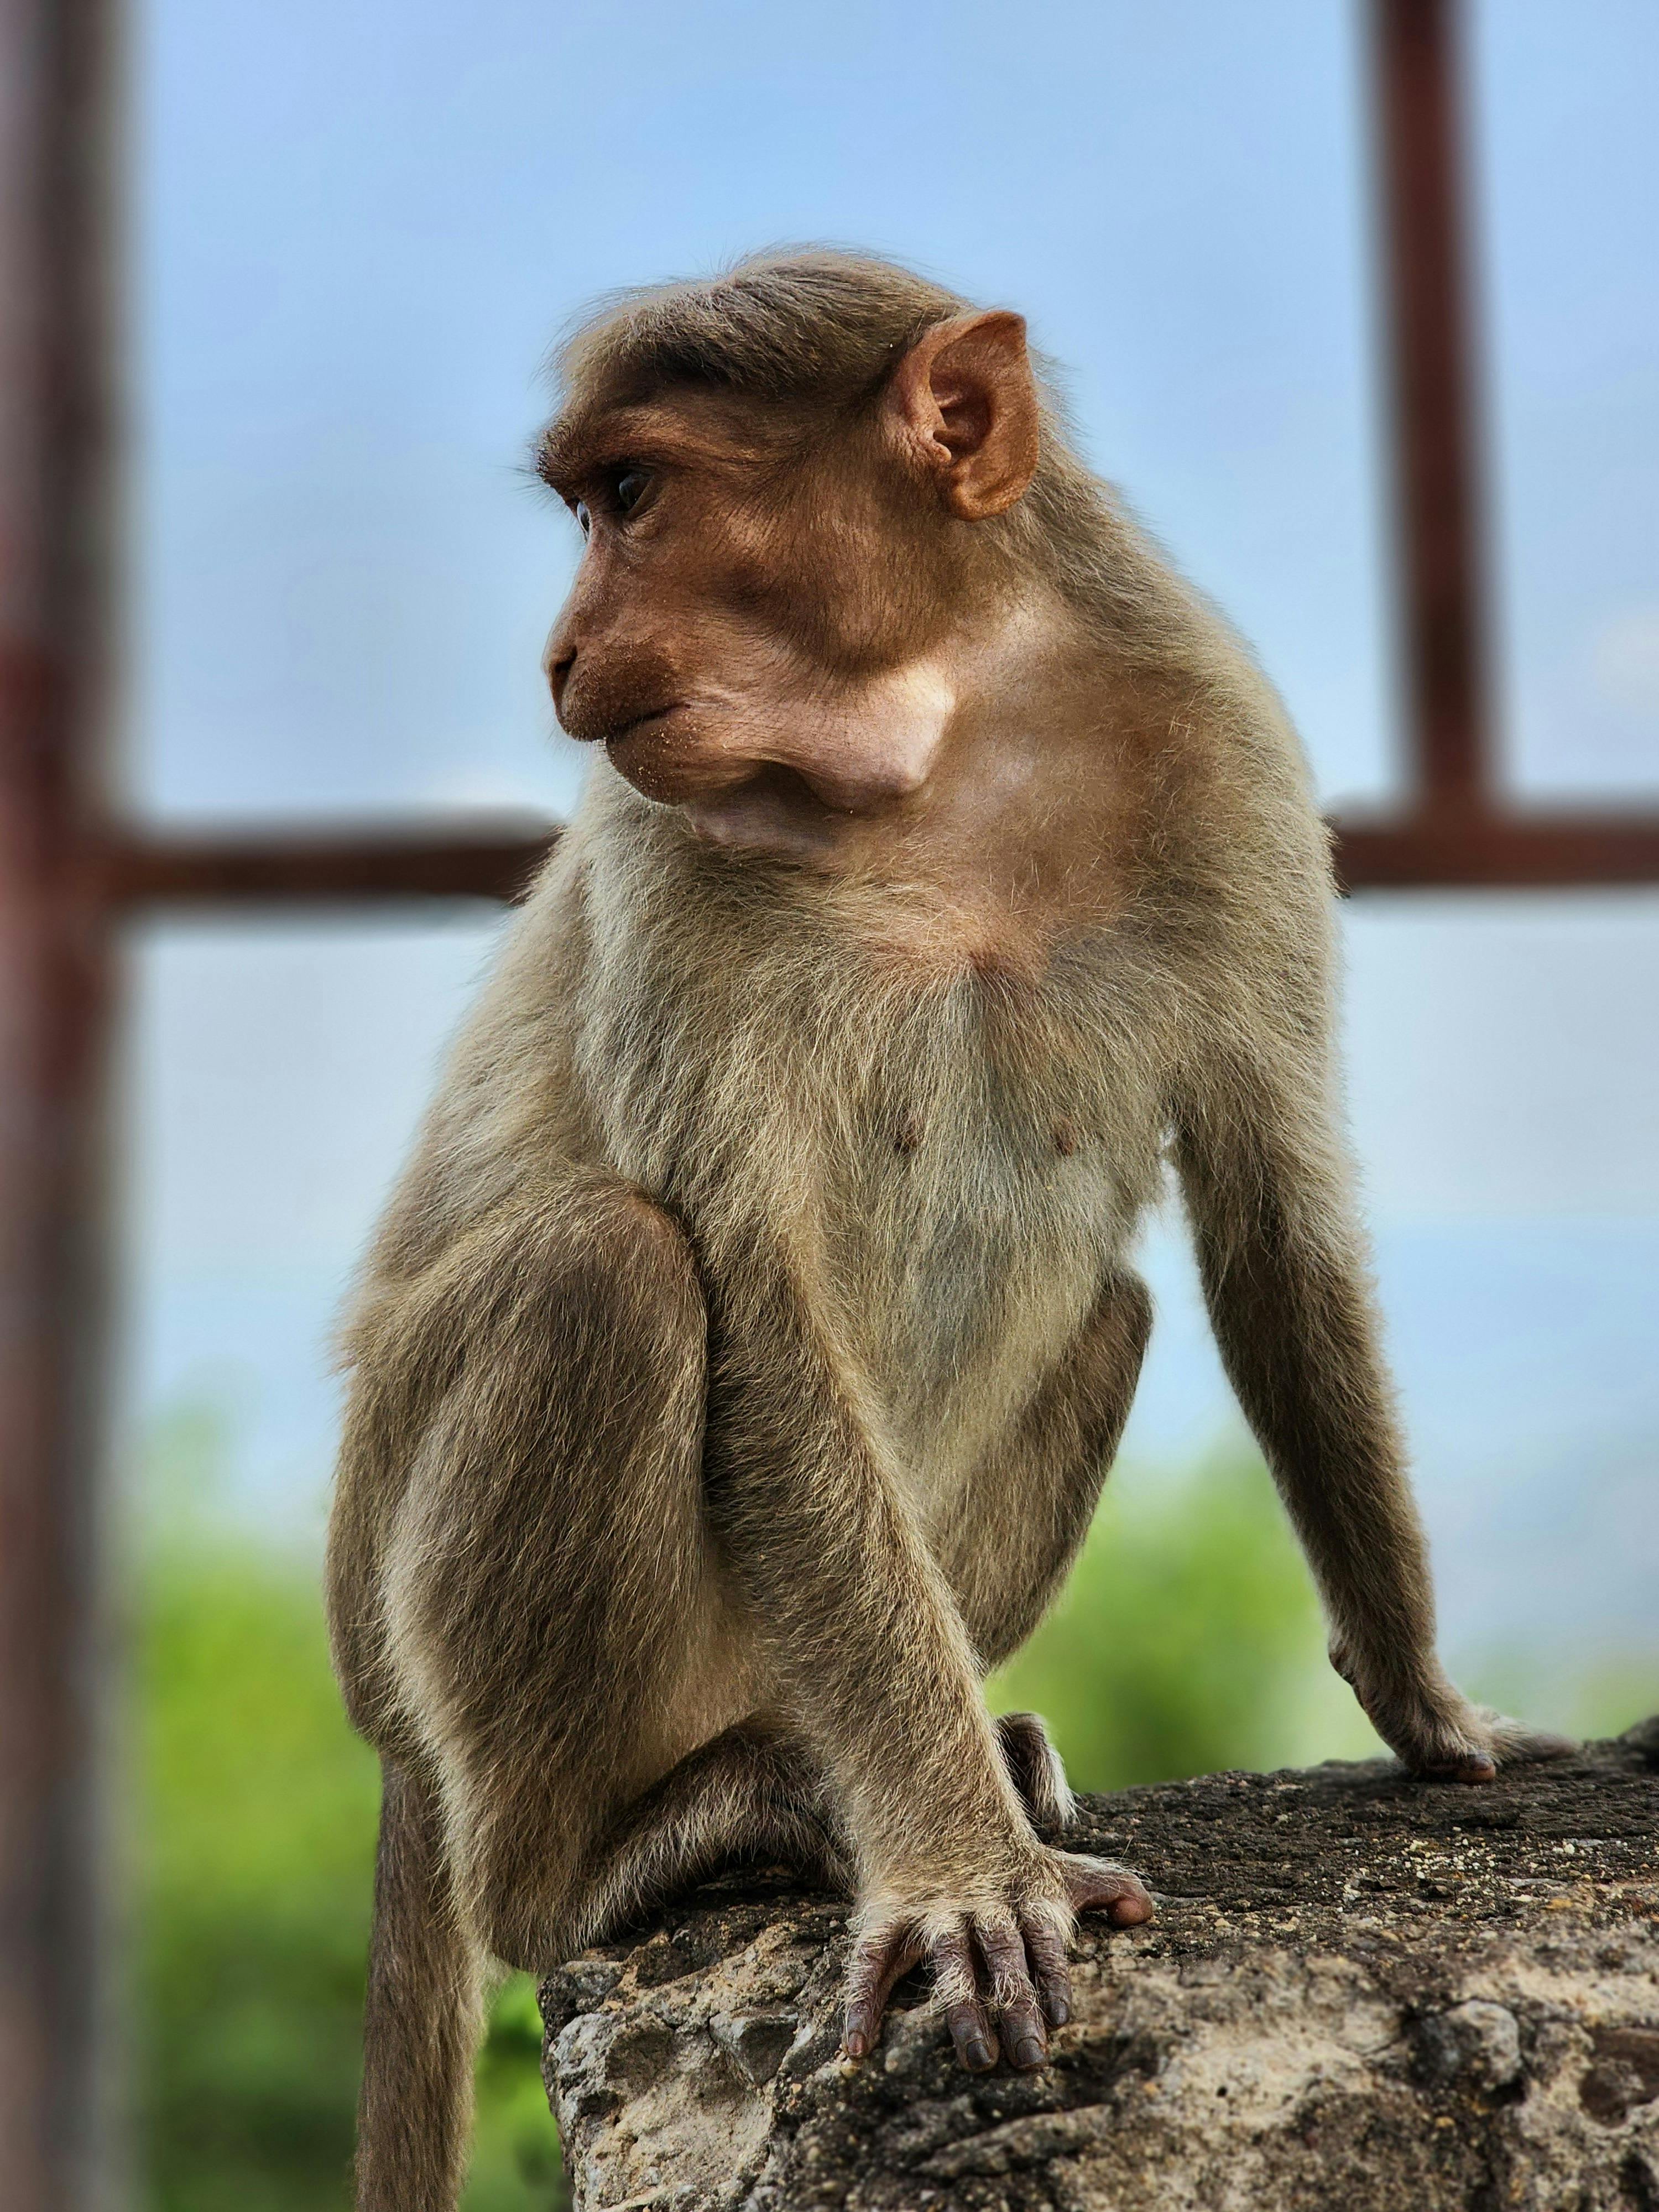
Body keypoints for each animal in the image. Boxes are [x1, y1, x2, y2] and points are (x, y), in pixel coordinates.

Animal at [324, 249, 1568, 2211]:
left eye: (632, 496)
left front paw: (1431, 1711)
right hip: (388, 1620)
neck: (945, 735)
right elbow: (760, 1309)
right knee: (599, 1272)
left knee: (1111, 1309)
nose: (560, 653)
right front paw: (962, 1877)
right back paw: (607, 1858)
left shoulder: (1226, 748)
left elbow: (1274, 1219)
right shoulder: (663, 854)